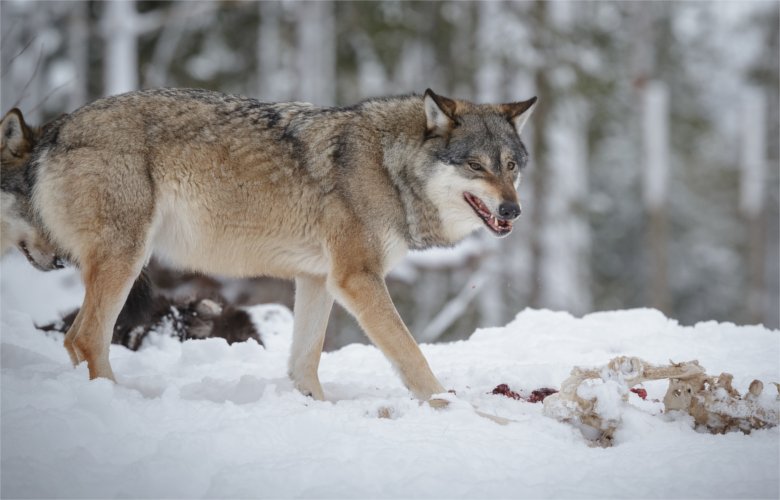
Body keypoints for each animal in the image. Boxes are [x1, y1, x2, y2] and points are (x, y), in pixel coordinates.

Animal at [29, 88, 536, 402]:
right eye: (475, 165)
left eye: (510, 166)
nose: (513, 210)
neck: (388, 169)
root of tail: (58, 128)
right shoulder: (357, 279)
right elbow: (412, 356)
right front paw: (448, 406)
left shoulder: (317, 279)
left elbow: (304, 363)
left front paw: (316, 408)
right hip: (128, 261)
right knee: (85, 337)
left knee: (77, 338)